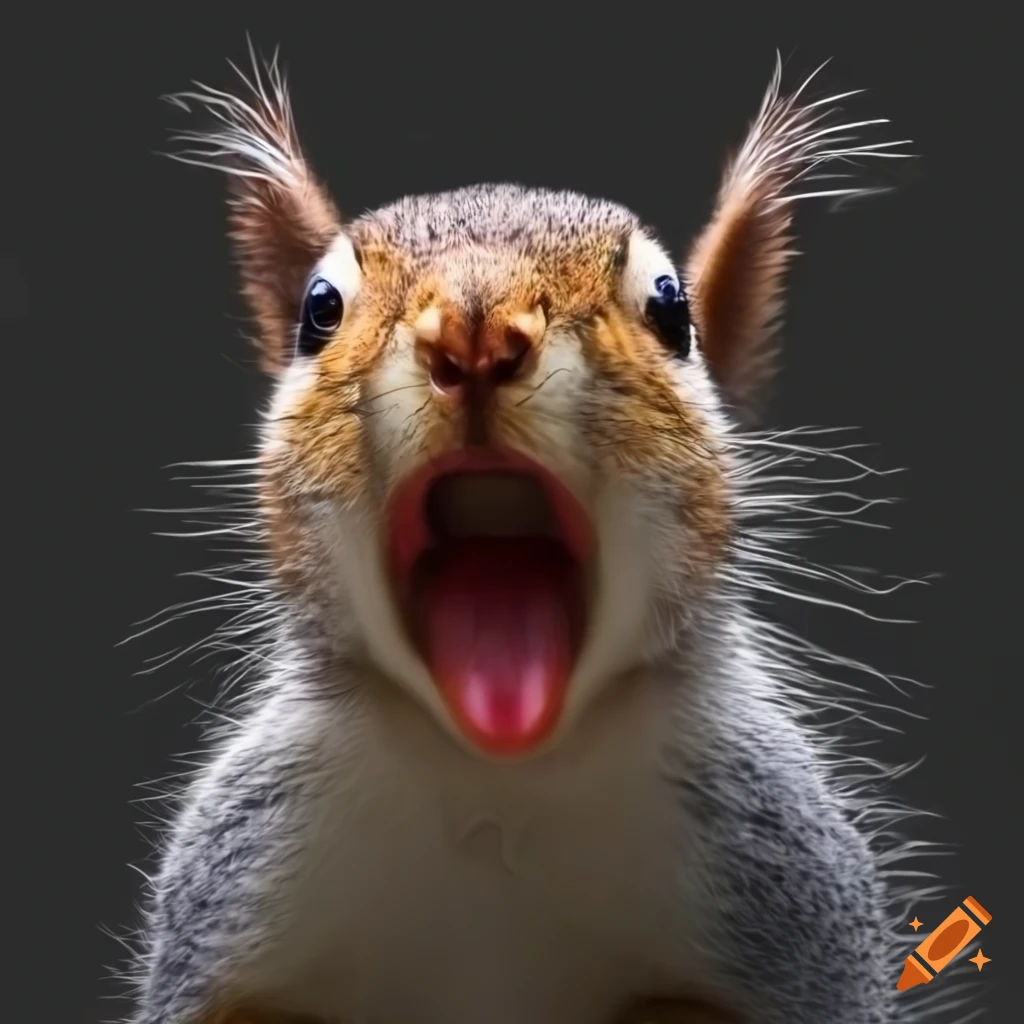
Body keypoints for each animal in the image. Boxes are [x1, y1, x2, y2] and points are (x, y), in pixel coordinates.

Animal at [123, 44, 963, 1024]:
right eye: (319, 309)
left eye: (671, 310)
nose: (474, 333)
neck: (499, 781)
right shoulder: (238, 879)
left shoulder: (789, 890)